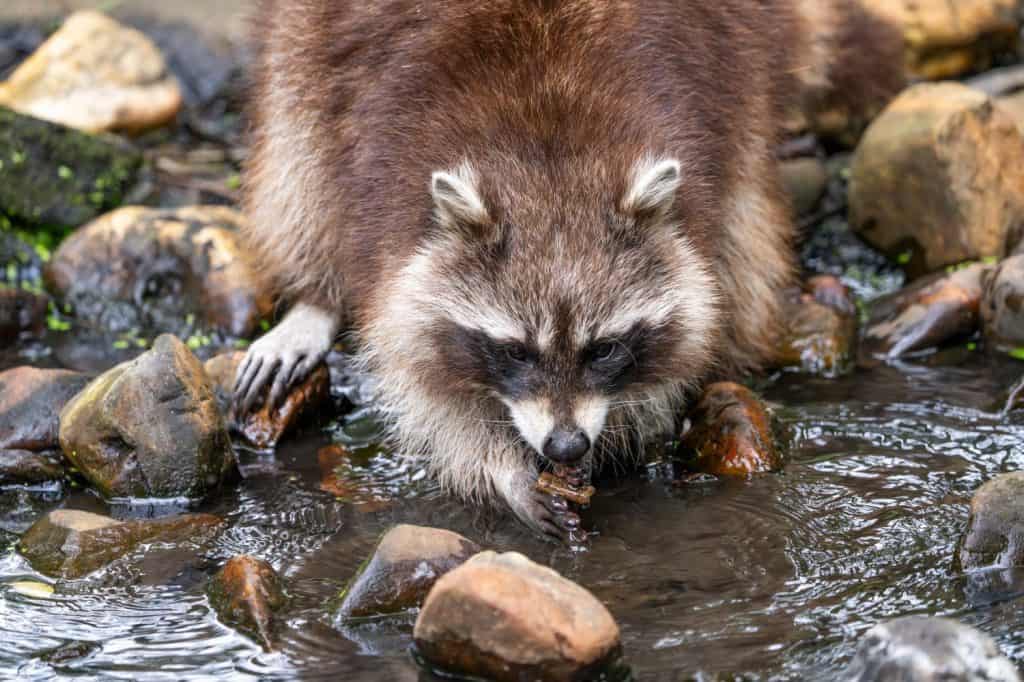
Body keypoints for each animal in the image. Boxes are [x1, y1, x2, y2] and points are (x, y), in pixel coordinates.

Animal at [235, 0, 903, 539]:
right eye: (515, 352)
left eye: (603, 349)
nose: (565, 443)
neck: (548, 161)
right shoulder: (392, 209)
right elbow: (421, 379)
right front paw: (498, 467)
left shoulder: (706, 128)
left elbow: (703, 306)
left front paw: (633, 413)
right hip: (310, 34)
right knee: (300, 145)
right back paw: (315, 294)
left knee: (749, 223)